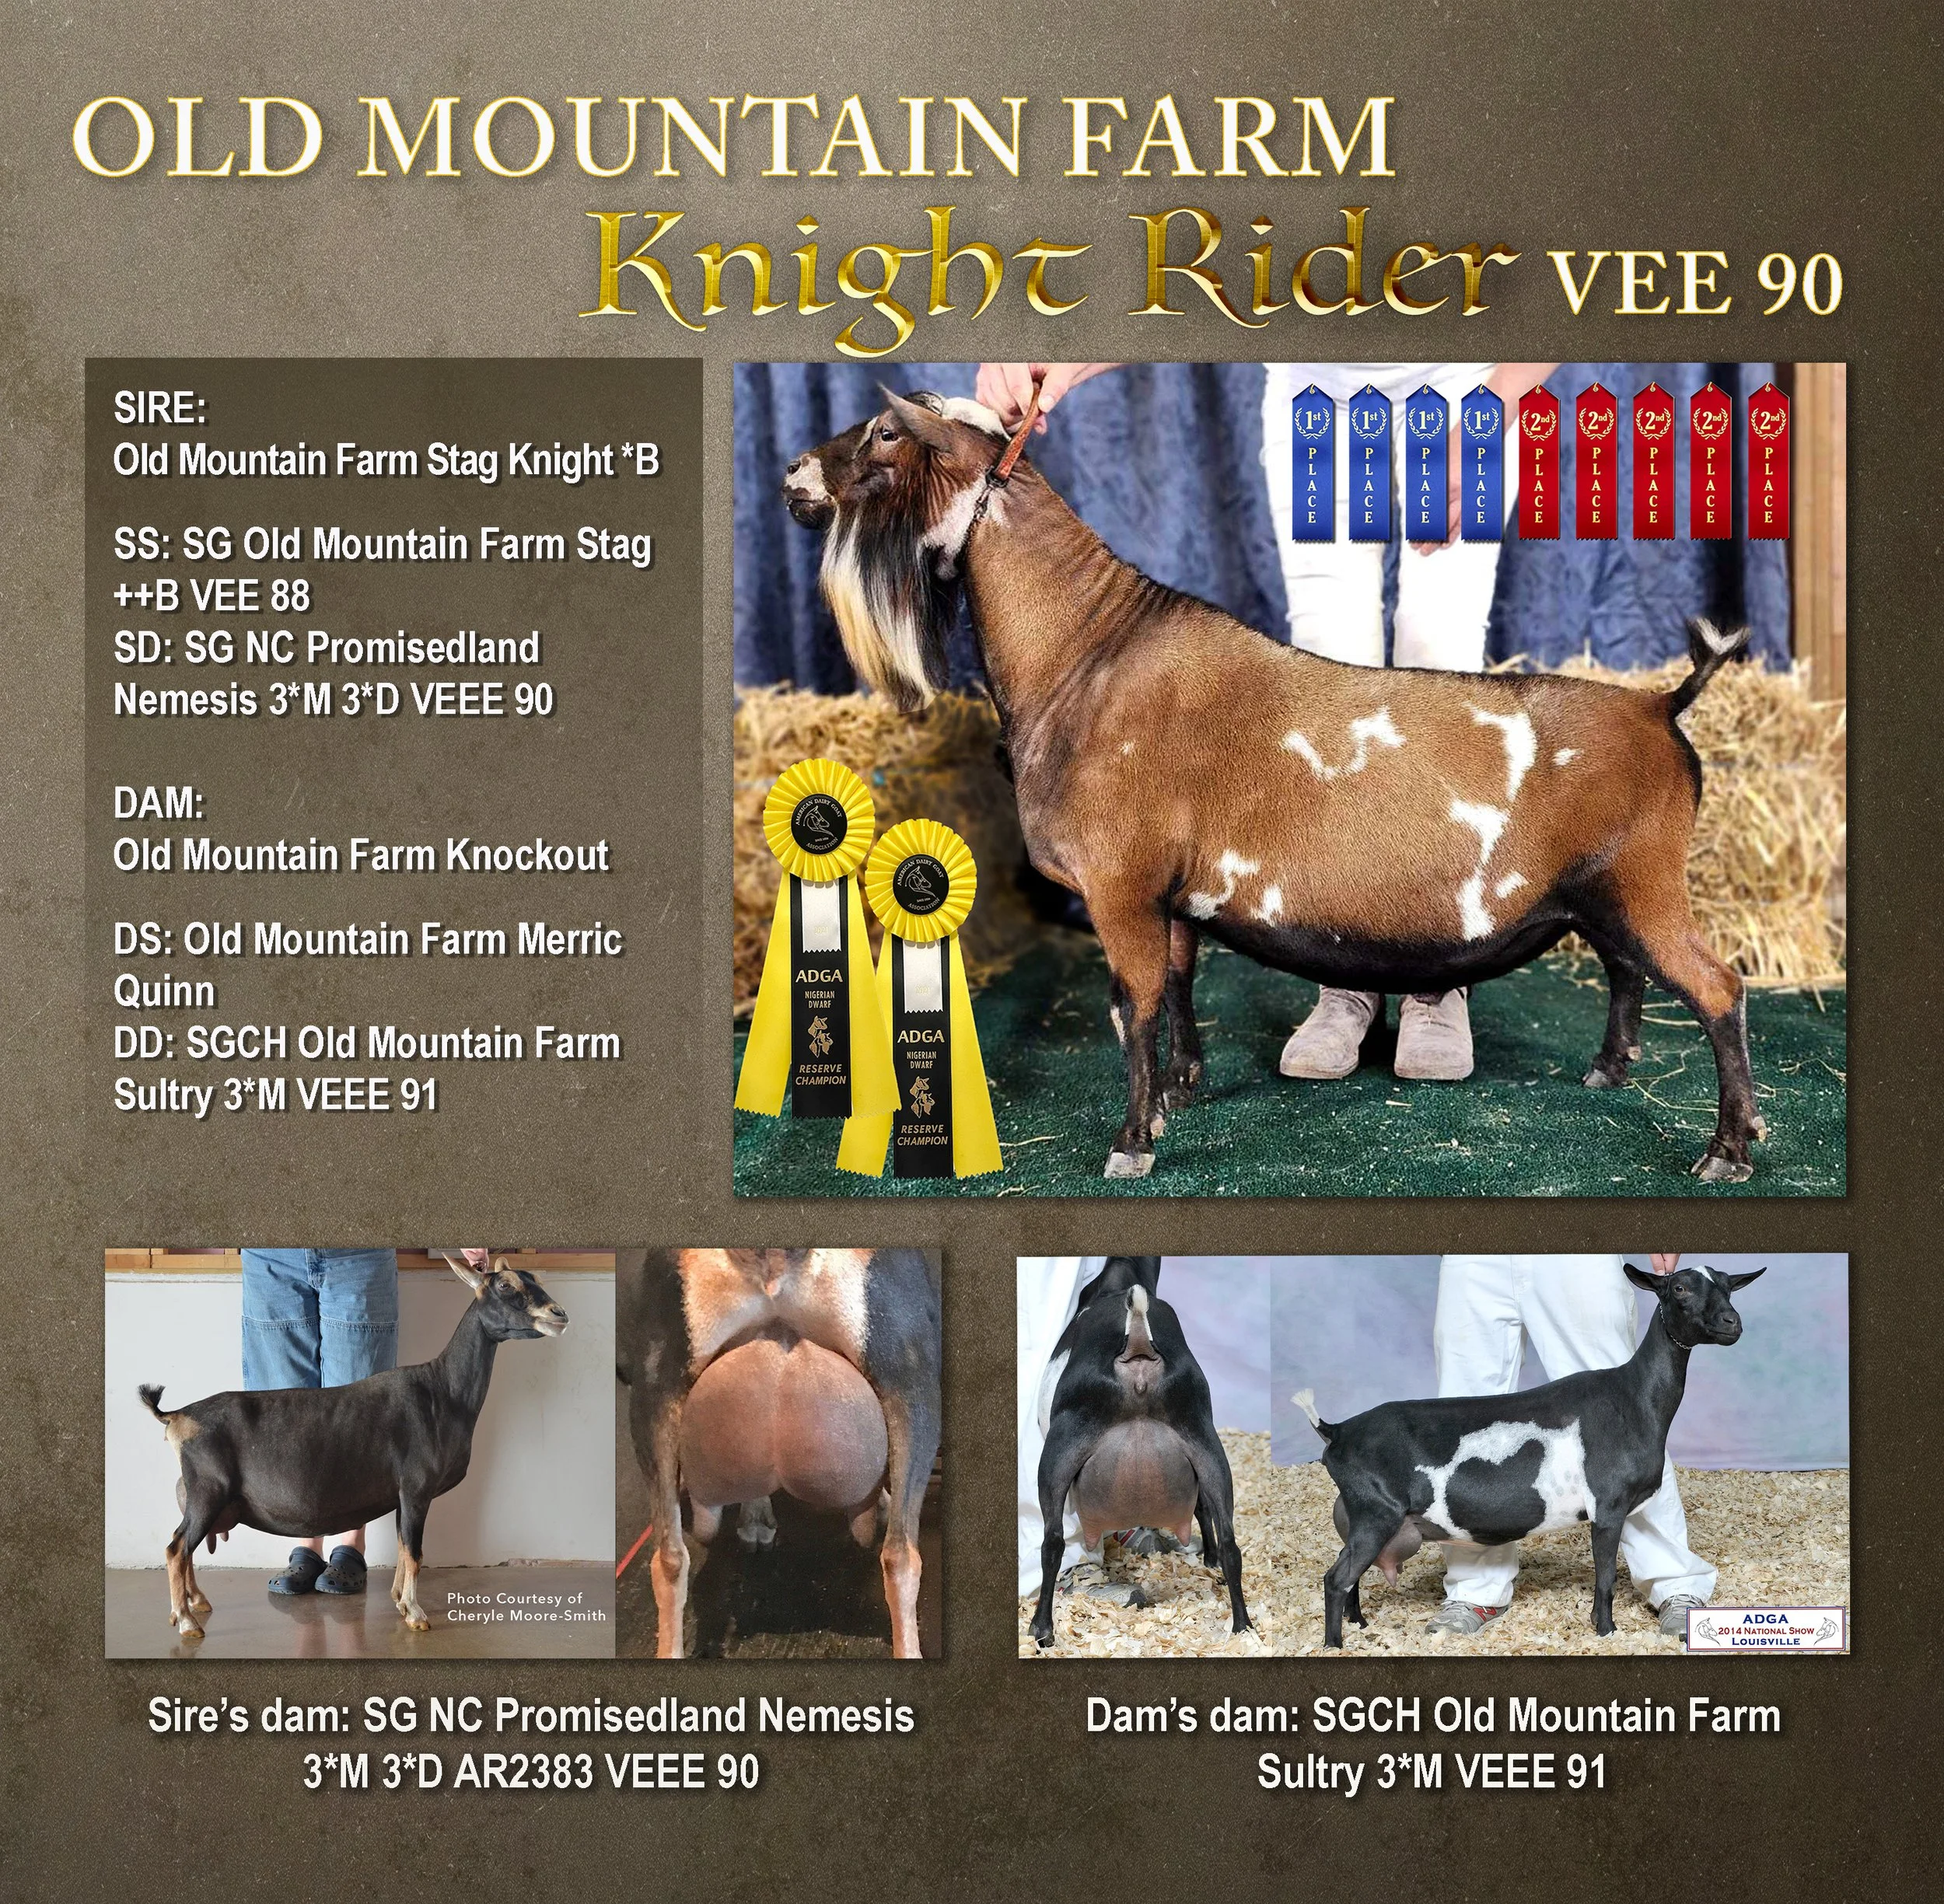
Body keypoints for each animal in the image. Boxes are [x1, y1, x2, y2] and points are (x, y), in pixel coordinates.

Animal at [139, 1254, 566, 1638]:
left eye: (536, 1279)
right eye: (505, 1285)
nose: (559, 1314)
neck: (442, 1392)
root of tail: (176, 1416)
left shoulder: (402, 1494)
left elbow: (403, 1547)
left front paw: (399, 1601)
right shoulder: (416, 1488)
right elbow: (415, 1552)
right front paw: (416, 1614)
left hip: (199, 1498)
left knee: (184, 1547)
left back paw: (194, 1604)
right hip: (208, 1492)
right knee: (177, 1550)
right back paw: (188, 1623)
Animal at [782, 391, 1765, 1184]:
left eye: (882, 431)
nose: (793, 475)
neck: (1085, 650)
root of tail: (1659, 705)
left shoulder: (1118, 886)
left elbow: (1130, 1006)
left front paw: (1132, 1143)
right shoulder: (1171, 894)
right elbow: (1176, 985)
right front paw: (1179, 1092)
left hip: (1645, 881)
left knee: (1717, 987)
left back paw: (1725, 1147)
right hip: (1600, 891)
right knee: (1625, 969)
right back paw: (1610, 1070)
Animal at [1030, 1255, 1249, 1646]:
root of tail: (1138, 1349)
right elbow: (1202, 1506)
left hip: (1059, 1451)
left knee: (1052, 1540)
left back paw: (1042, 1628)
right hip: (1205, 1442)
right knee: (1229, 1540)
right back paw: (1241, 1626)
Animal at [1296, 1263, 1764, 1645]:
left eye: (1728, 1286)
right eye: (1680, 1288)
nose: (1732, 1322)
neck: (1631, 1397)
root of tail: (1337, 1431)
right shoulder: (1608, 1508)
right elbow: (1606, 1577)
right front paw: (1606, 1631)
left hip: (1363, 1520)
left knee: (1350, 1575)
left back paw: (1360, 1626)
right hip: (1376, 1514)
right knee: (1336, 1578)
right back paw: (1334, 1645)